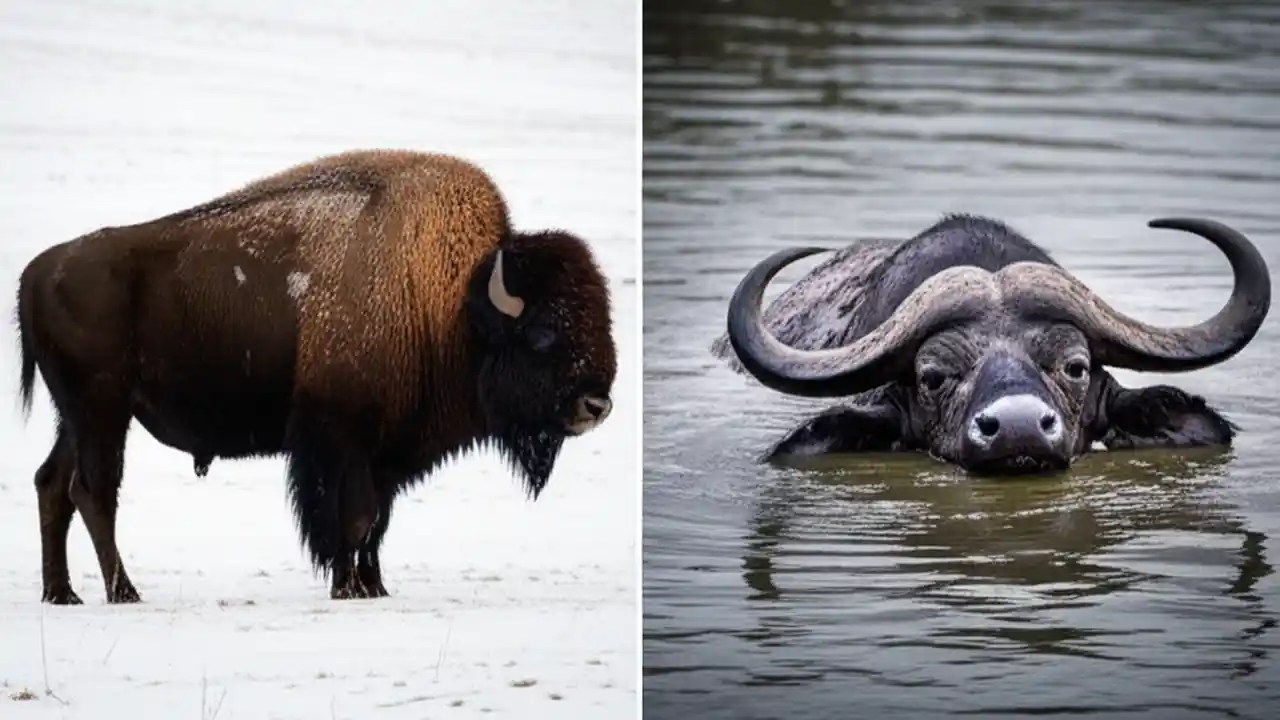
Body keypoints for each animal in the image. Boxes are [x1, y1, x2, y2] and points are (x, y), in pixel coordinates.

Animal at [18, 149, 616, 603]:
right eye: (543, 332)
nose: (597, 405)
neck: (451, 304)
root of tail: (36, 272)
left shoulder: (386, 451)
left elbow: (377, 523)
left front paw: (374, 586)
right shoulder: (337, 438)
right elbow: (351, 518)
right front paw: (348, 587)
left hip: (77, 416)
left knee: (53, 484)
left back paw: (61, 594)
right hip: (102, 410)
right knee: (93, 490)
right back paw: (124, 593)